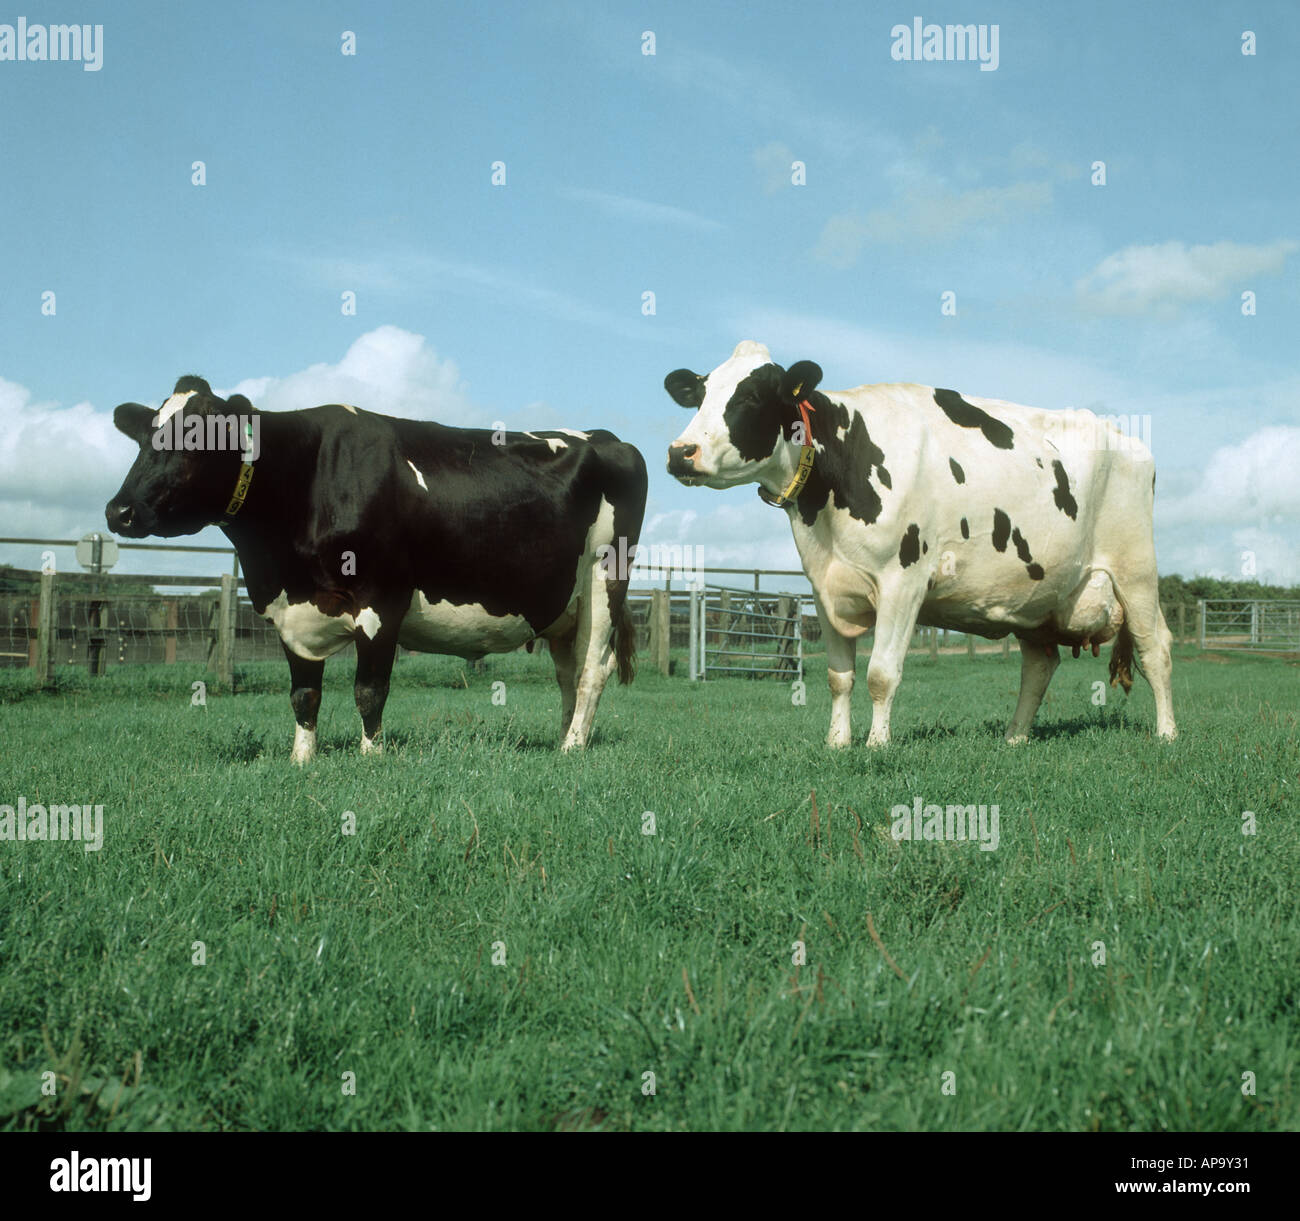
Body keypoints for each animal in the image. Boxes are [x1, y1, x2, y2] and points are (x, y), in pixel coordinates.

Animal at [106, 376, 647, 761]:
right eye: (146, 439)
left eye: (196, 438)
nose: (118, 511)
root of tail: (609, 439)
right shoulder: (288, 614)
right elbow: (304, 695)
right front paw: (302, 760)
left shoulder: (382, 600)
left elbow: (369, 690)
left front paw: (372, 757)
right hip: (563, 607)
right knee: (568, 671)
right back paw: (565, 739)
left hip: (605, 580)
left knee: (593, 669)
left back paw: (573, 748)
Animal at [664, 341, 1176, 748]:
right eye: (701, 396)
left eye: (750, 396)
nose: (679, 452)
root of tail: (1126, 438)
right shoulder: (824, 588)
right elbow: (838, 677)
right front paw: (837, 743)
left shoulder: (902, 581)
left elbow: (880, 674)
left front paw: (876, 745)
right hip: (1039, 594)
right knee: (1039, 664)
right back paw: (1014, 739)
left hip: (1135, 570)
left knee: (1156, 648)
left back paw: (1167, 734)